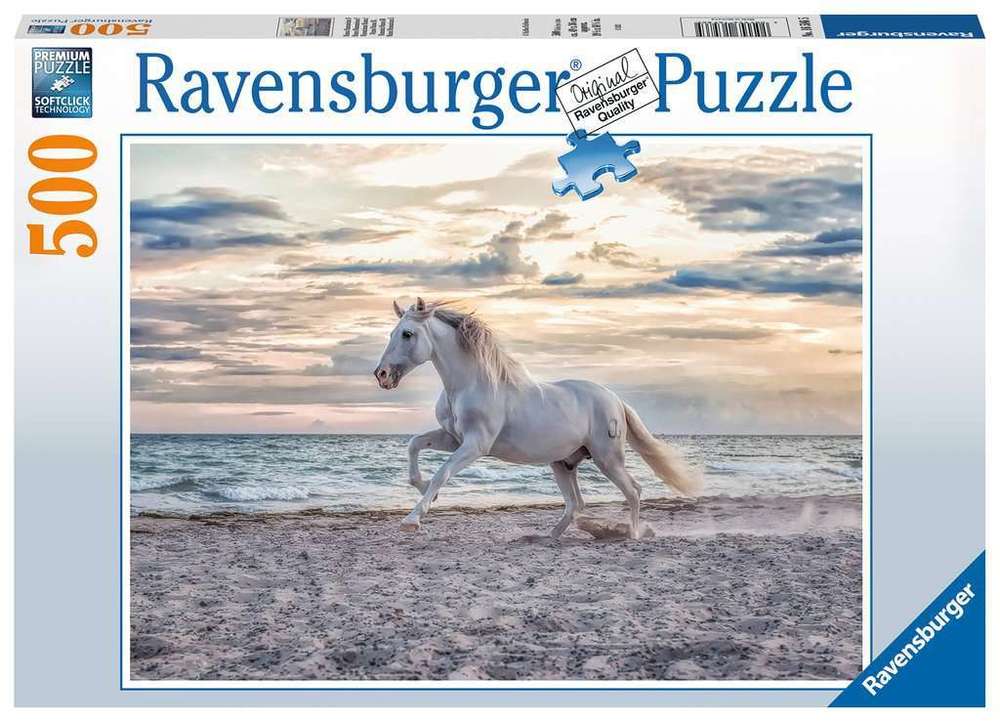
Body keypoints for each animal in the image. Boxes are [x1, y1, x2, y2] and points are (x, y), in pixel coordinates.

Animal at [373, 298, 701, 539]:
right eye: (390, 333)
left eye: (407, 334)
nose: (381, 375)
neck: (470, 384)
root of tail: (615, 399)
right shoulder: (453, 438)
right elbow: (414, 446)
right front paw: (424, 489)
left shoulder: (475, 445)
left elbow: (443, 472)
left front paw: (413, 519)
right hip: (563, 463)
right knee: (576, 503)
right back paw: (549, 536)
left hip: (607, 458)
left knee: (633, 490)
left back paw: (632, 535)